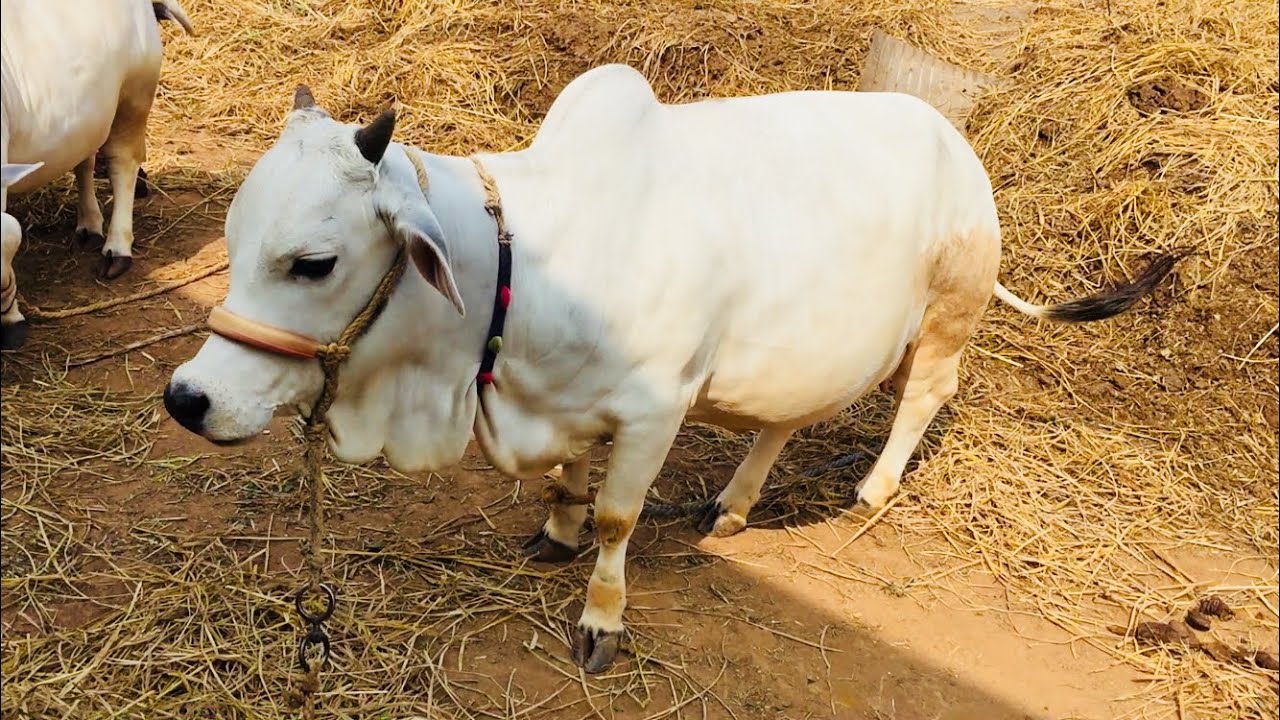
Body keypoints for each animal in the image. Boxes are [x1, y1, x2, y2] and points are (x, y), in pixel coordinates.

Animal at [0, 0, 194, 350]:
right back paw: (89, 224)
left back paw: (117, 248)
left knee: (123, 165)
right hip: (90, 117)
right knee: (85, 162)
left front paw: (11, 318)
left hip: (133, 97)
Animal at [162, 65, 1183, 673]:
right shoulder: (568, 402)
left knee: (927, 394)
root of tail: (953, 141)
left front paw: (602, 616)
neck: (522, 273)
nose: (187, 397)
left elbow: (619, 517)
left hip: (952, 311)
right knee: (783, 421)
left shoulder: (655, 409)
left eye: (314, 263)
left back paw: (874, 487)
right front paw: (557, 529)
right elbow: (569, 478)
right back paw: (733, 503)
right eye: (234, 242)